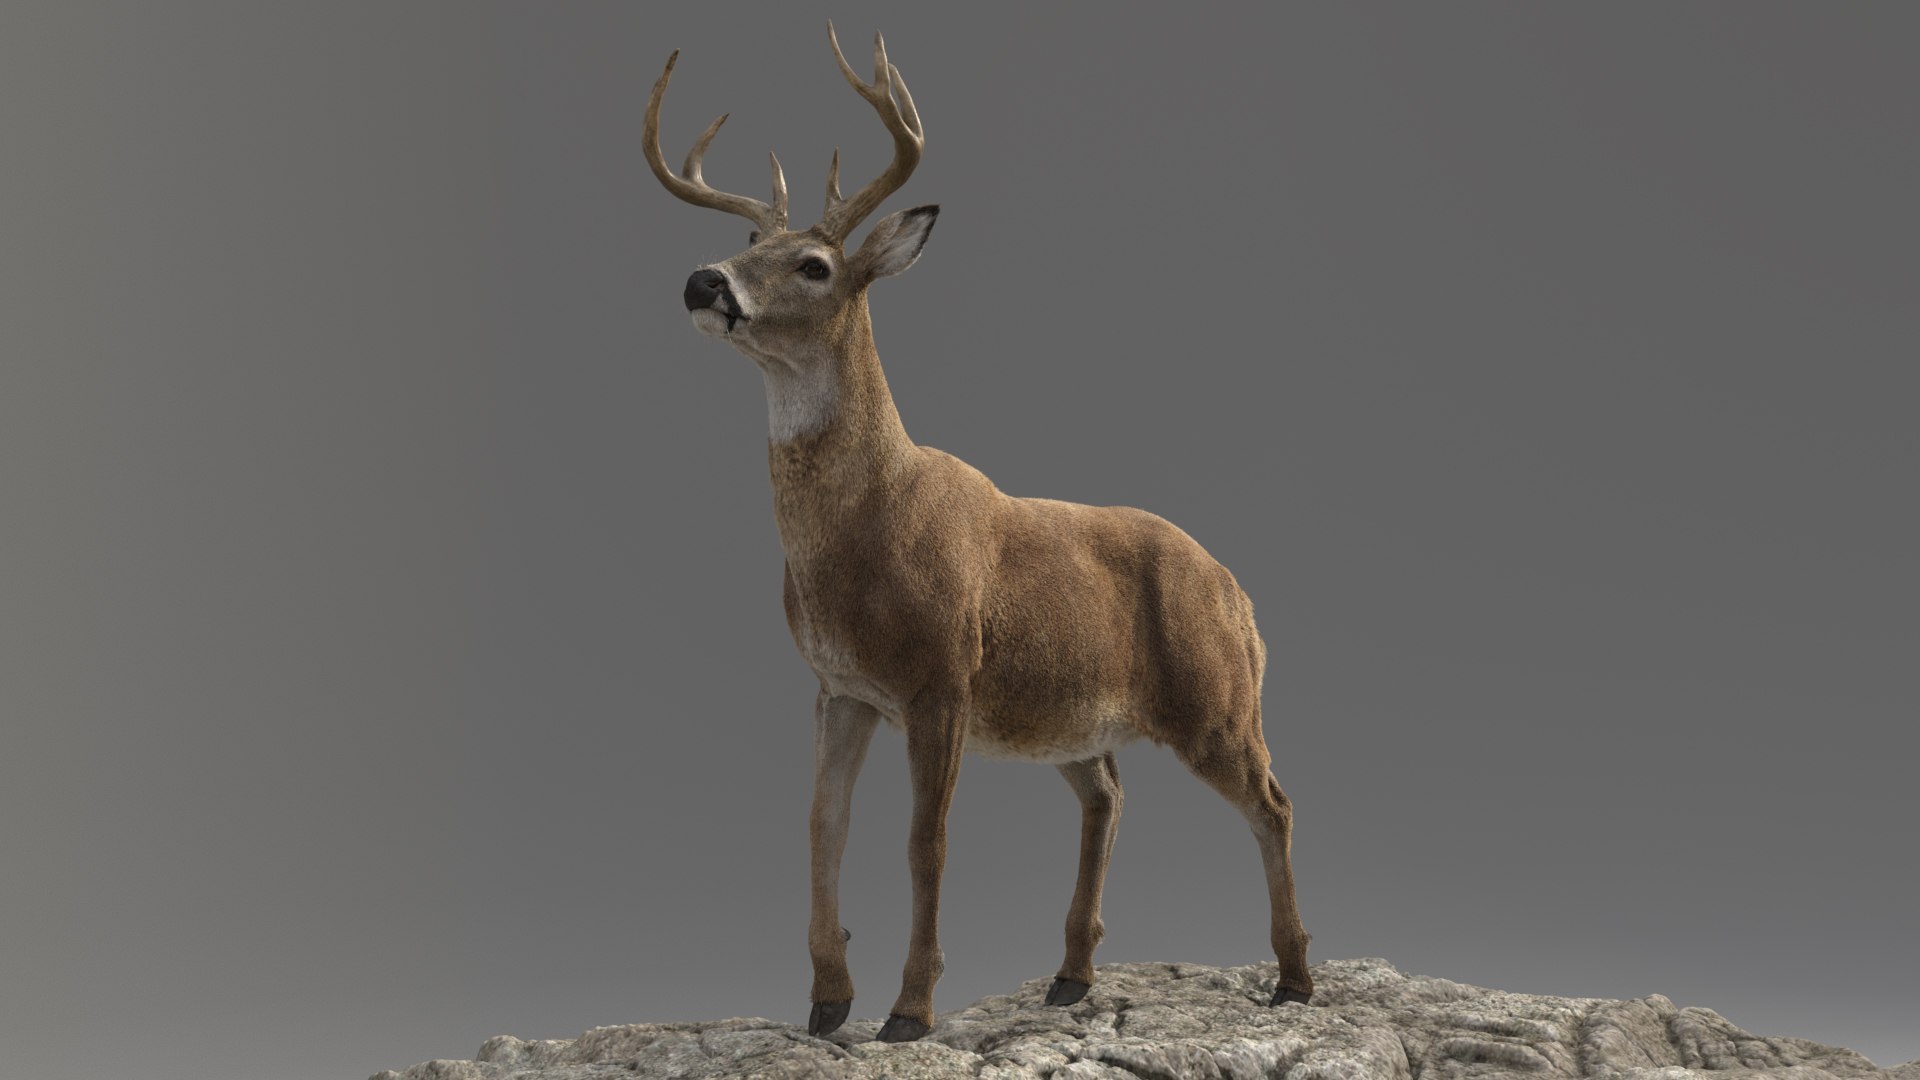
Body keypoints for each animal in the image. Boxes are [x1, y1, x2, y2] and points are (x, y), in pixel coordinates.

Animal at [642, 23, 1314, 1044]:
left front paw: (909, 1011)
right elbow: (822, 828)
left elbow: (927, 841)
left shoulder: (943, 674)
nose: (703, 280)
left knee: (1273, 803)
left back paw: (1296, 980)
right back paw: (1072, 977)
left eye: (815, 266)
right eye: (749, 239)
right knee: (1110, 793)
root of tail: (1240, 595)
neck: (863, 532)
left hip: (1218, 697)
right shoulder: (839, 687)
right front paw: (826, 1002)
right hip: (1074, 715)